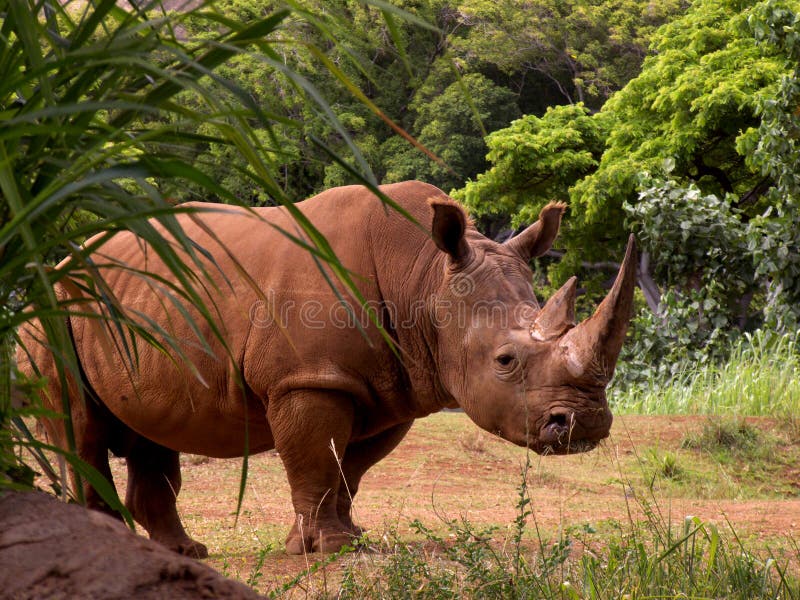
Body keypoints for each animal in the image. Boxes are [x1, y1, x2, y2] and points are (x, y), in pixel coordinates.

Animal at [18, 181, 636, 557]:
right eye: (505, 361)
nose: (584, 424)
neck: (424, 276)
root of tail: (62, 261)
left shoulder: (388, 389)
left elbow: (348, 469)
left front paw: (342, 539)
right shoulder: (309, 378)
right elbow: (316, 458)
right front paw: (331, 550)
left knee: (151, 435)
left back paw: (185, 553)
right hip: (50, 315)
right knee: (79, 427)